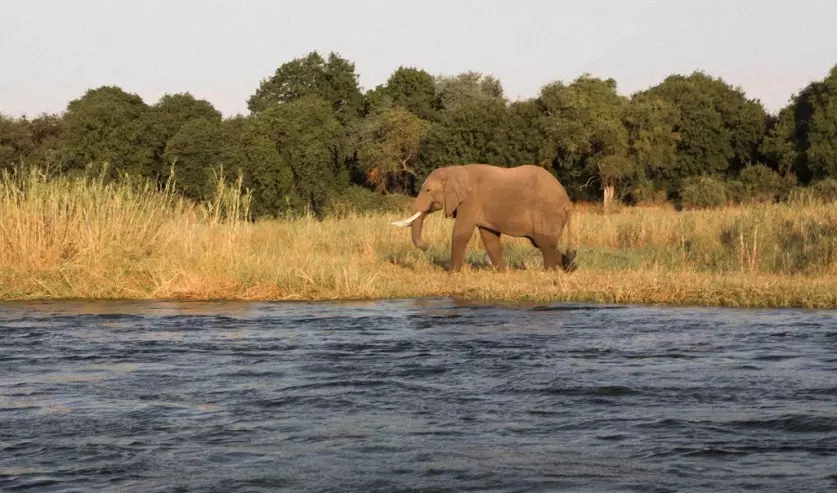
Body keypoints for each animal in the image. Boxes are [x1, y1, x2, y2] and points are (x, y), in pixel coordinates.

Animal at [390, 164, 576, 272]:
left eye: (428, 190)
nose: (427, 246)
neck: (455, 170)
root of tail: (567, 202)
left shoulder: (471, 200)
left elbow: (461, 233)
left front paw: (452, 273)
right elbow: (489, 237)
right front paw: (502, 272)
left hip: (547, 213)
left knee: (544, 243)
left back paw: (550, 272)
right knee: (543, 243)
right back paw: (568, 266)